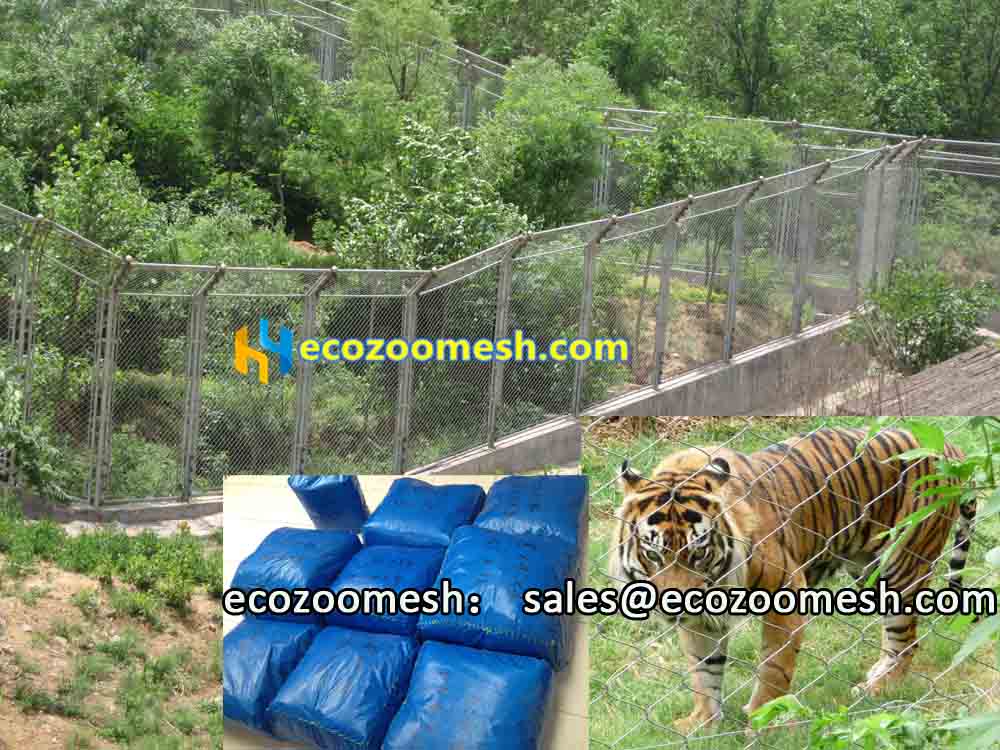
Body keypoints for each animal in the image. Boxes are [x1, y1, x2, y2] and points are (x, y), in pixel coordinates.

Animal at [608, 426, 975, 734]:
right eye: (653, 555)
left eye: (697, 554)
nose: (676, 607)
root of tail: (948, 446)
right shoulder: (700, 620)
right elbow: (704, 671)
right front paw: (702, 722)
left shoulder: (784, 593)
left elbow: (774, 668)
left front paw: (763, 722)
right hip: (869, 570)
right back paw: (879, 674)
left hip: (903, 562)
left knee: (906, 638)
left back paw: (880, 687)